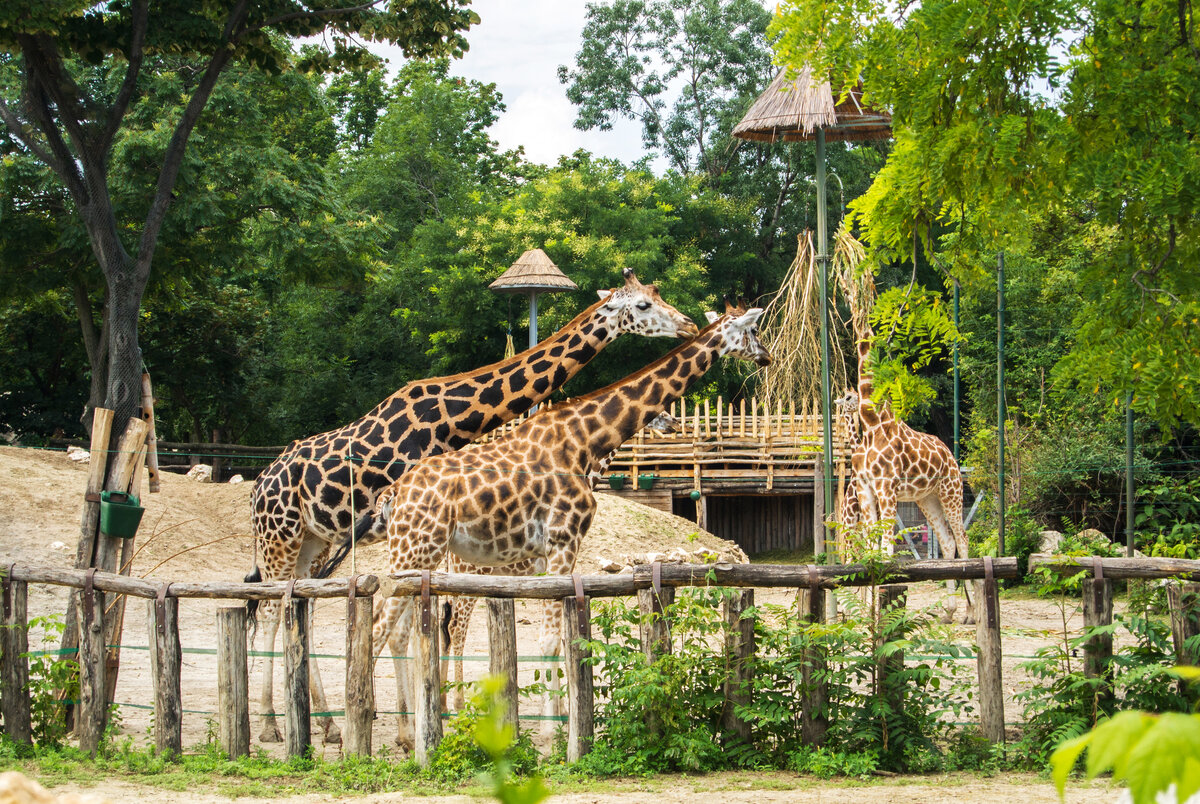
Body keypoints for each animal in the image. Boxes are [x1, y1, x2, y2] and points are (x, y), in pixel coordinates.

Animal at [244, 268, 700, 744]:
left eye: (657, 295)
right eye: (644, 304)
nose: (688, 324)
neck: (450, 421)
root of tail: (258, 485)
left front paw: (413, 728)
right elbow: (415, 626)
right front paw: (423, 724)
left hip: (313, 543)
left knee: (305, 608)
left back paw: (330, 725)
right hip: (281, 538)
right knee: (275, 610)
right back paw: (272, 724)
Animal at [357, 303, 768, 748]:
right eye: (753, 330)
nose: (766, 356)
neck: (587, 445)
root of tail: (394, 493)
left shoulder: (552, 560)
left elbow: (563, 638)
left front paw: (556, 719)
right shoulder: (563, 543)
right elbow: (553, 639)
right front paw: (554, 732)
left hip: (422, 560)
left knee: (404, 630)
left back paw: (412, 727)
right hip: (426, 555)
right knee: (392, 629)